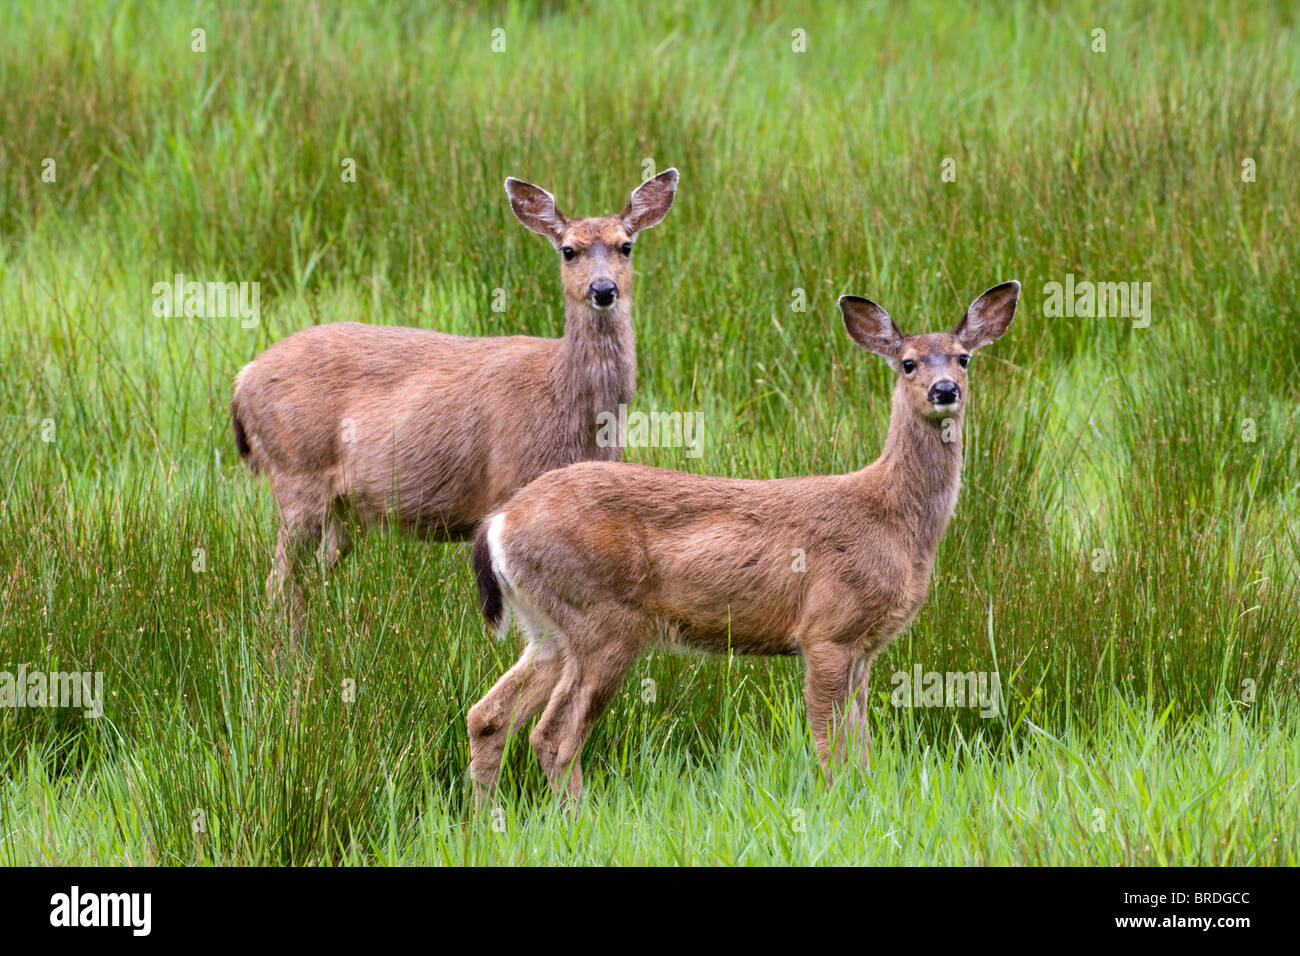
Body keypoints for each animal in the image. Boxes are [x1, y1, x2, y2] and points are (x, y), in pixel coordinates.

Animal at [230, 168, 679, 648]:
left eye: (626, 246)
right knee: (279, 578)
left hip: (343, 508)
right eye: (568, 250)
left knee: (311, 572)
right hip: (297, 471)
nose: (603, 289)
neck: (564, 399)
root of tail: (243, 377)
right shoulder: (508, 482)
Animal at [465, 281, 1020, 800]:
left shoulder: (866, 647)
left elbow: (861, 749)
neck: (894, 521)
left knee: (487, 717)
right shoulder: (828, 629)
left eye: (964, 357)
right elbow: (831, 747)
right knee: (554, 735)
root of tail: (500, 521)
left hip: (547, 628)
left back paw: (488, 821)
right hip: (601, 619)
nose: (944, 389)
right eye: (908, 363)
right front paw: (839, 802)